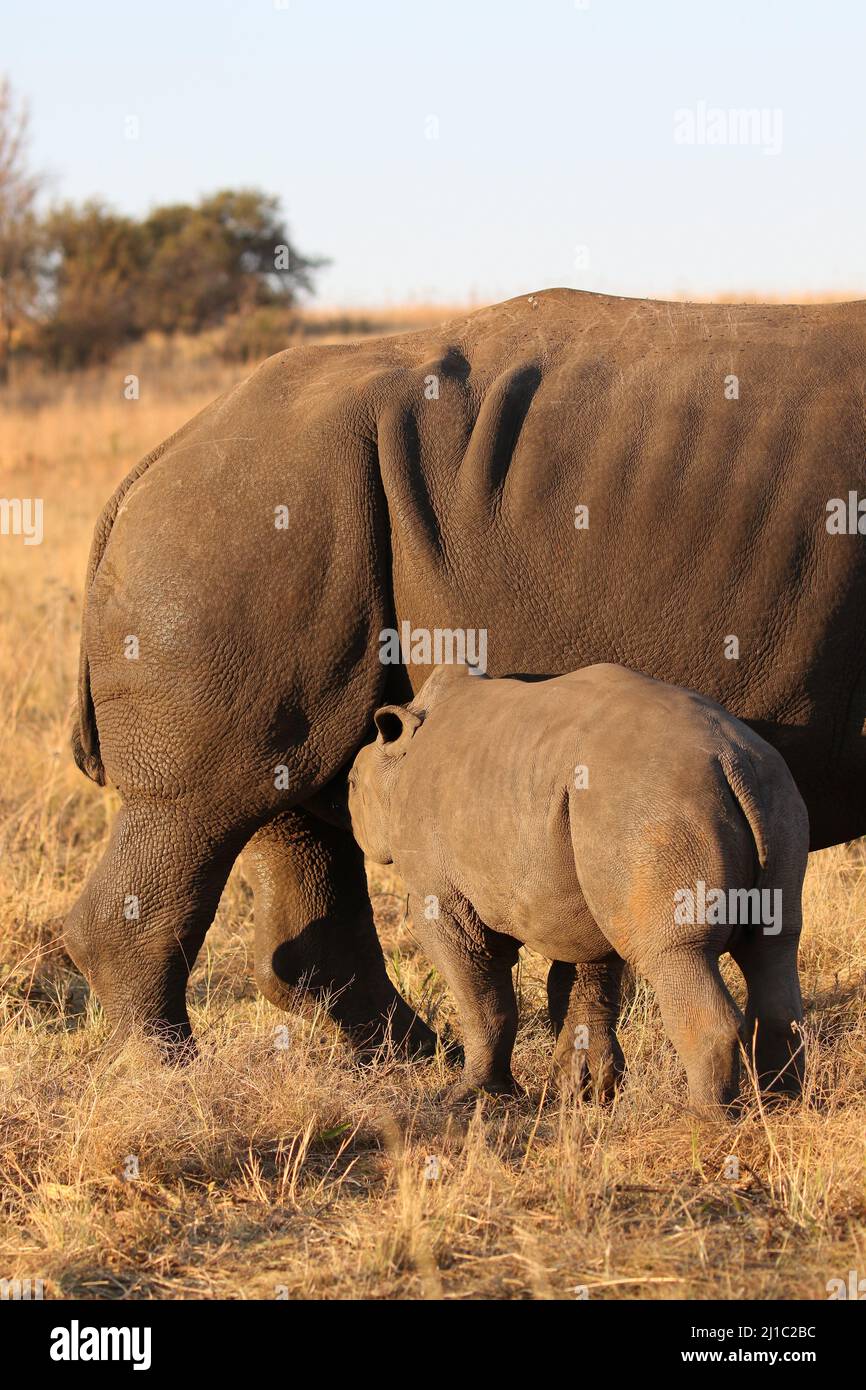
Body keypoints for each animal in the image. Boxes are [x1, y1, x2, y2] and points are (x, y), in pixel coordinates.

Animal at [348, 663, 808, 1111]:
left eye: (351, 784)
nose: (351, 819)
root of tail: (732, 759)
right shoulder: (578, 885)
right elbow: (584, 981)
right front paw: (585, 1096)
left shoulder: (439, 891)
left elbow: (480, 991)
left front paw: (474, 1097)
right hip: (772, 794)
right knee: (774, 945)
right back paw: (783, 1106)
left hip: (651, 806)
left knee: (677, 952)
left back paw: (706, 1118)